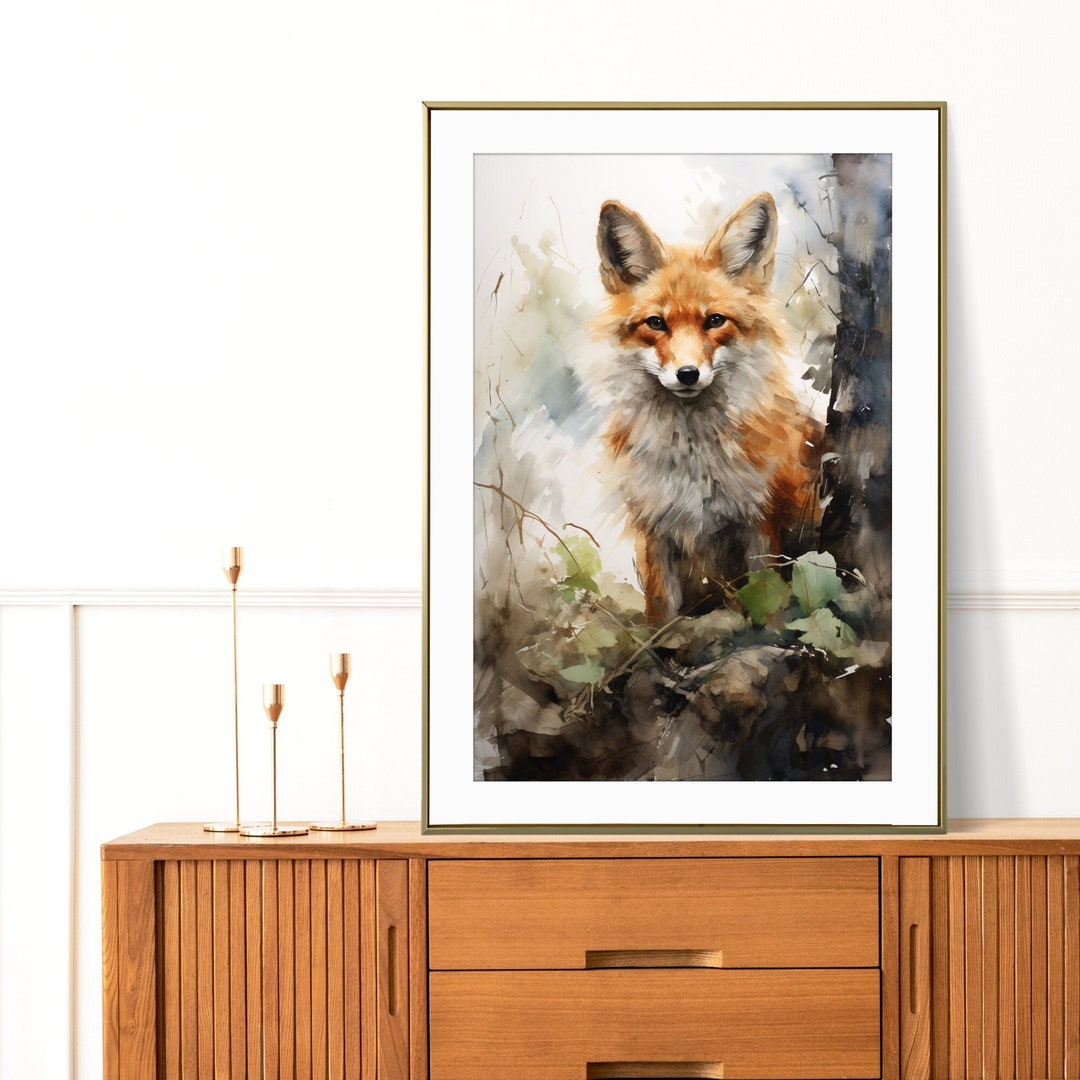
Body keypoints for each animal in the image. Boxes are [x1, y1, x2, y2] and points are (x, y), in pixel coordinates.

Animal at [591, 192, 824, 622]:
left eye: (715, 321)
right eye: (656, 323)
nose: (687, 374)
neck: (693, 458)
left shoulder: (760, 523)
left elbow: (768, 601)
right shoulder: (654, 528)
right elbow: (661, 613)